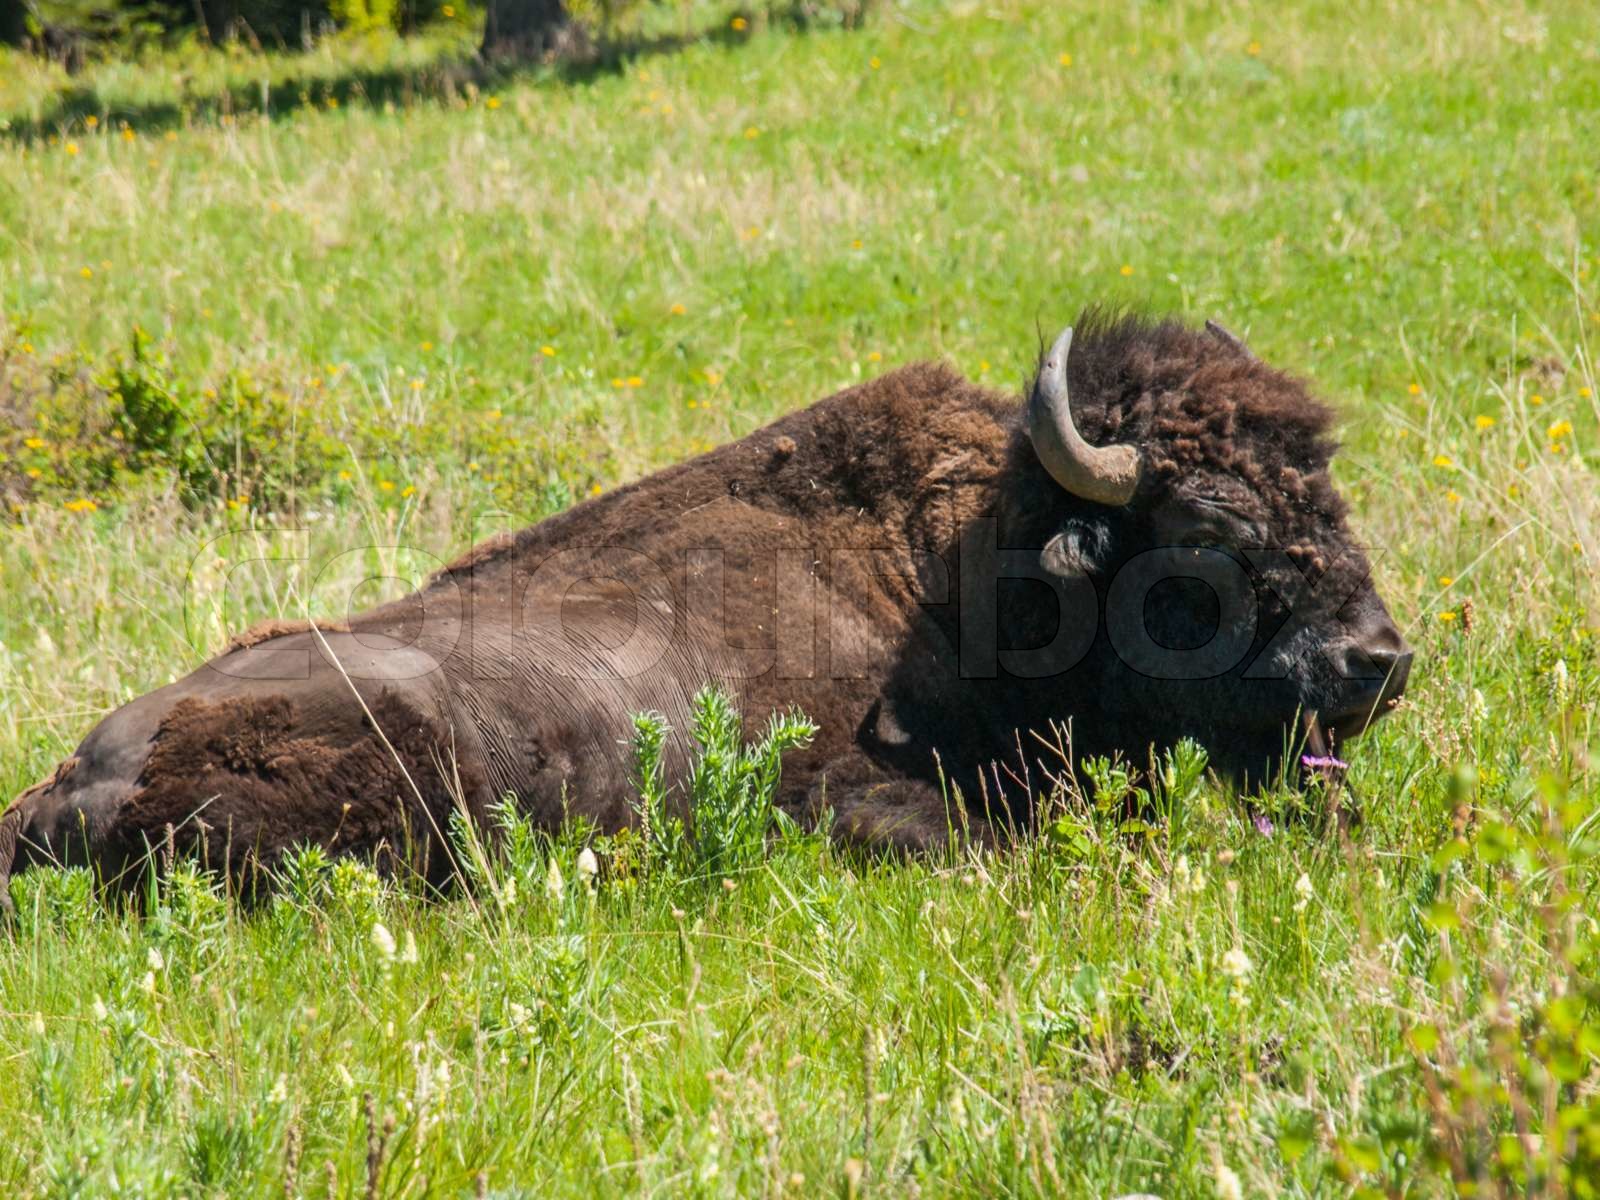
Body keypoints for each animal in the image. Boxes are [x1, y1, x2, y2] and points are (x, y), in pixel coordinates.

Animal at [1, 310, 1411, 898]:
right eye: (1205, 532)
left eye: (1328, 487)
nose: (1375, 662)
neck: (956, 572)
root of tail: (65, 785)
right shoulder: (843, 797)